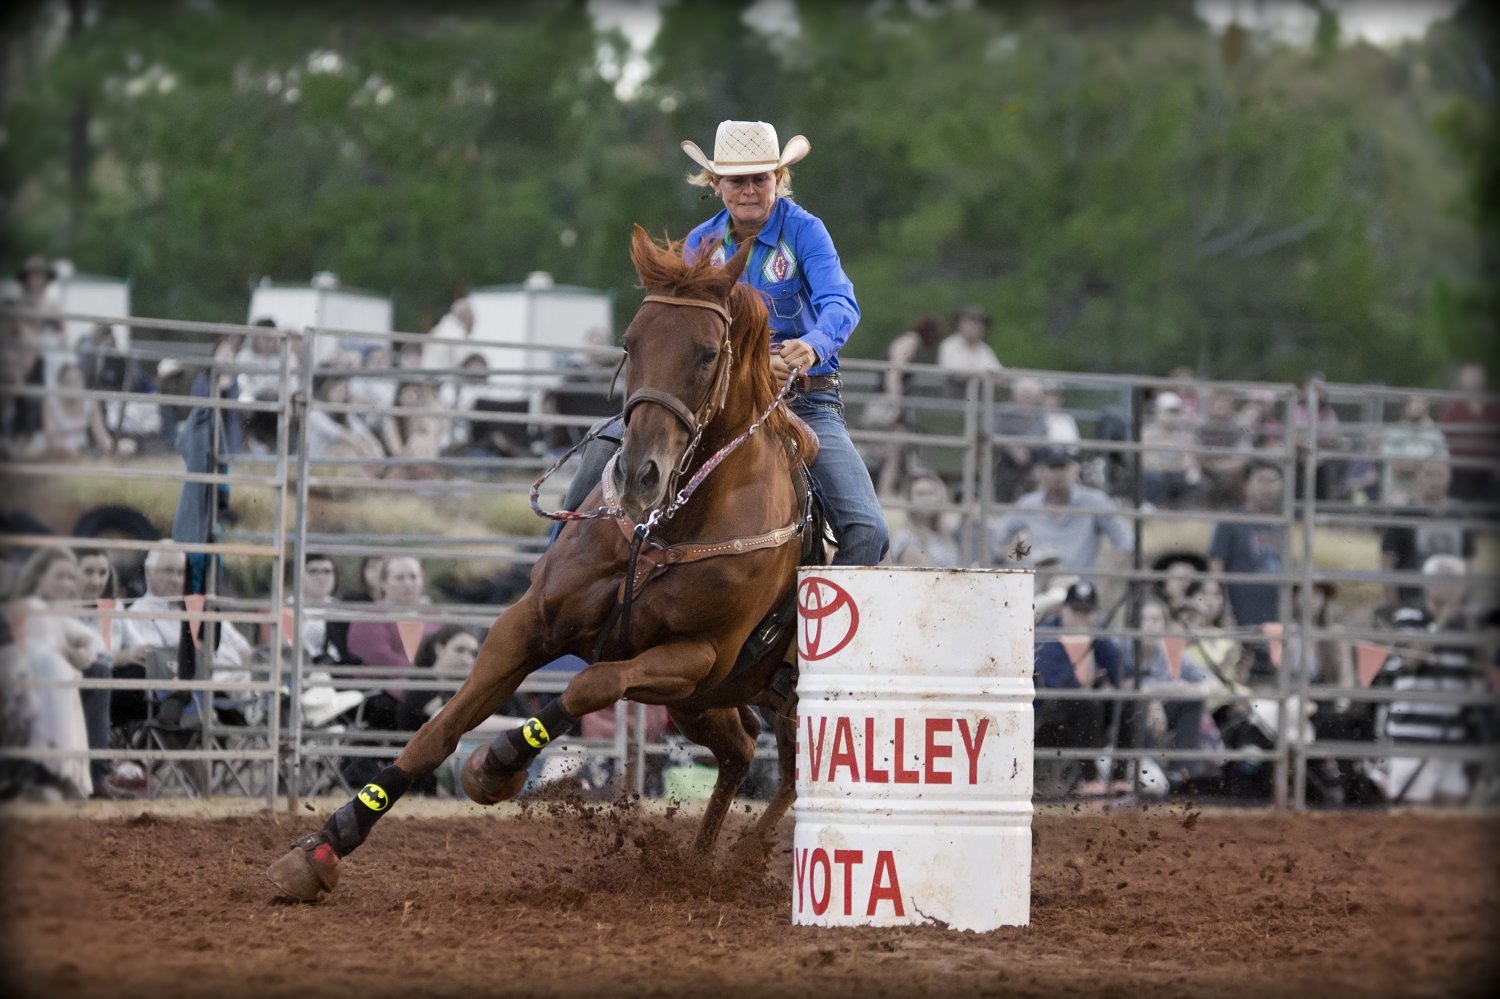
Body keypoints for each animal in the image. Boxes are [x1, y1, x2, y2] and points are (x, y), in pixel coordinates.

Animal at [268, 226, 820, 901]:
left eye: (708, 353)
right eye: (630, 342)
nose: (638, 476)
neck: (662, 526)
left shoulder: (697, 657)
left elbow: (589, 684)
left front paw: (496, 765)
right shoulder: (530, 621)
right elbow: (436, 731)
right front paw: (329, 841)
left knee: (787, 772)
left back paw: (741, 864)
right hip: (711, 703)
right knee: (744, 751)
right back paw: (698, 865)